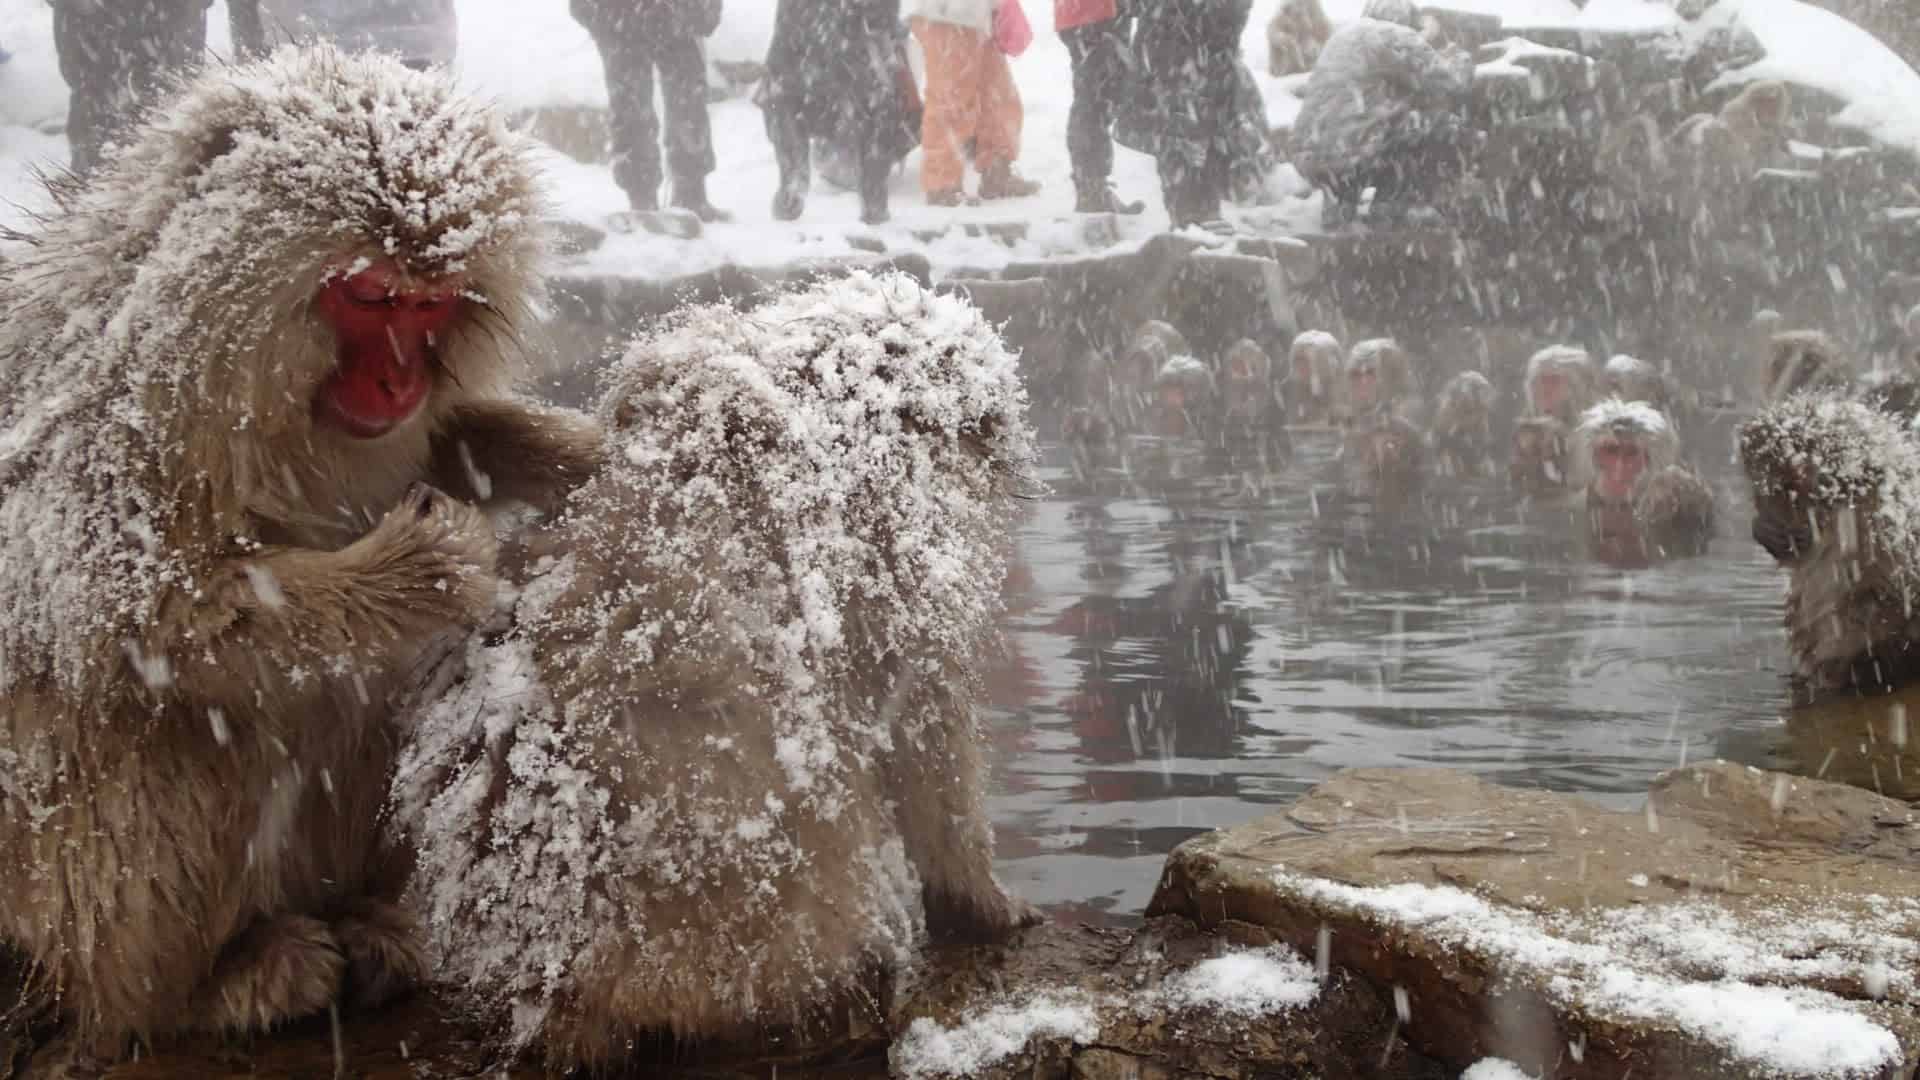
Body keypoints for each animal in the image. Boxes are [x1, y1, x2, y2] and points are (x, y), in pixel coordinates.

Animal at [0, 47, 605, 1057]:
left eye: (431, 306)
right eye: (367, 296)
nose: (399, 382)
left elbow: (448, 443)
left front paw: (571, 448)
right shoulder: (108, 420)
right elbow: (134, 615)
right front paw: (422, 568)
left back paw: (368, 920)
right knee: (161, 726)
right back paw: (204, 985)